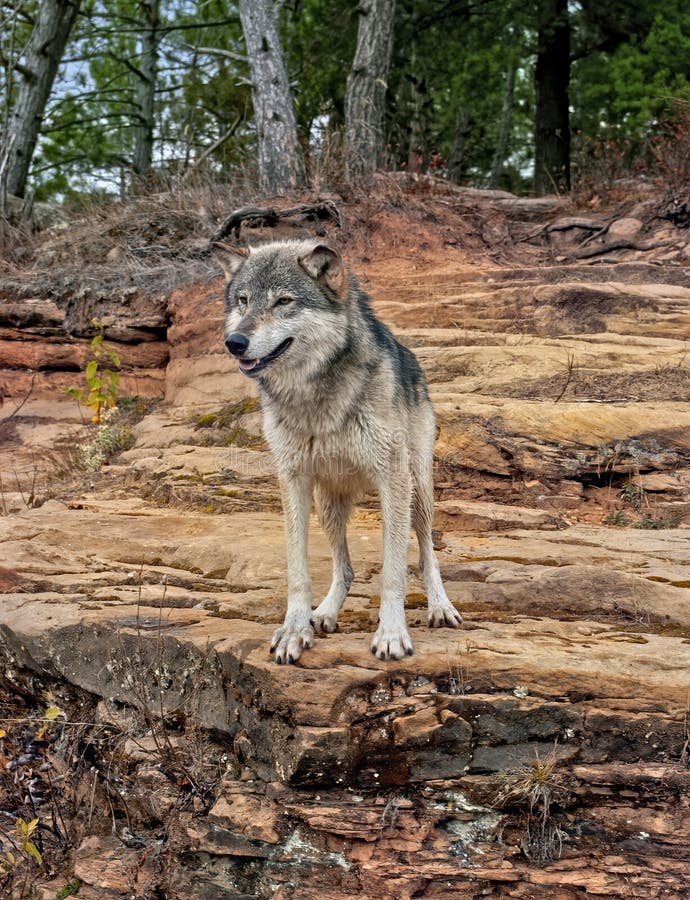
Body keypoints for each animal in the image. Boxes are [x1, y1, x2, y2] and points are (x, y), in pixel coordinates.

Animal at [215, 239, 462, 664]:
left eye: (284, 301)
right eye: (243, 301)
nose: (236, 343)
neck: (314, 397)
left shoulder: (392, 480)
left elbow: (393, 571)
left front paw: (392, 634)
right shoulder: (293, 480)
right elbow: (297, 571)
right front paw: (294, 631)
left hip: (418, 492)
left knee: (426, 555)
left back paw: (441, 607)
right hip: (329, 504)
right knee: (344, 569)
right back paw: (326, 614)